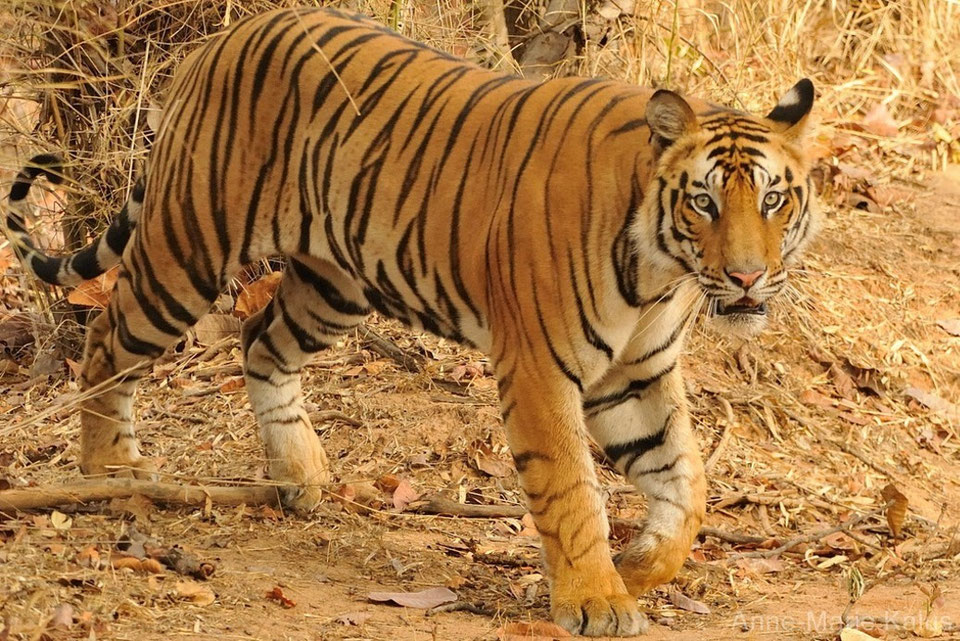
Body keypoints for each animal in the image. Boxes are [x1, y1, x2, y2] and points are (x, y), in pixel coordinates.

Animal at [5, 6, 818, 636]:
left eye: (773, 199)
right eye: (704, 202)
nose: (748, 276)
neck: (659, 270)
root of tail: (223, 37)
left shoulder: (637, 374)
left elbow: (686, 479)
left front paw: (640, 565)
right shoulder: (540, 368)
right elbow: (571, 489)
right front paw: (596, 599)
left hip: (333, 283)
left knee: (261, 341)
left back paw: (301, 477)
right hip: (190, 247)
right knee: (108, 335)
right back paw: (110, 466)